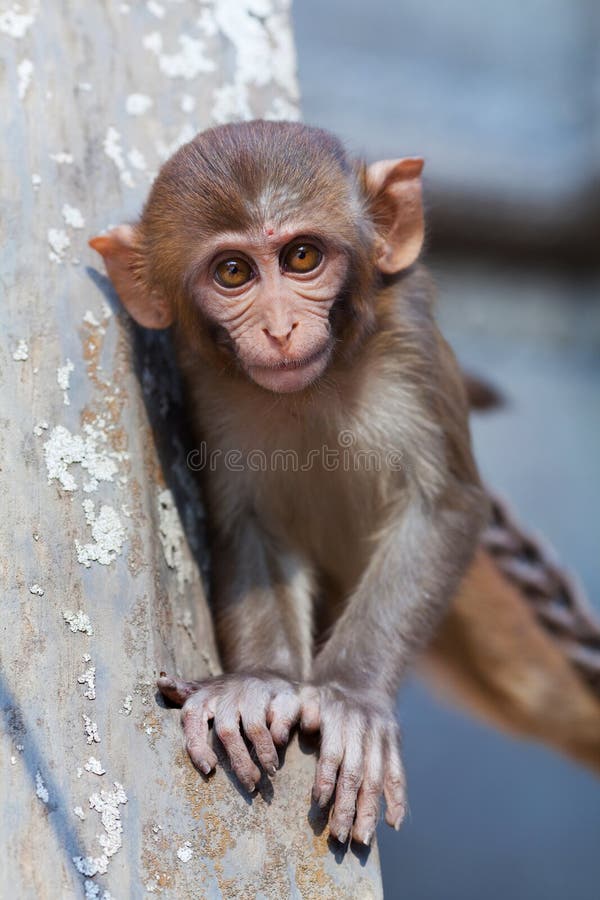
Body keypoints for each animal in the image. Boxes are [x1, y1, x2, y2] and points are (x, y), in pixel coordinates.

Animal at [90, 119, 600, 847]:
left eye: (302, 257)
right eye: (234, 272)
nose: (279, 328)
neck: (322, 380)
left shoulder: (412, 342)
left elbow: (444, 506)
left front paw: (352, 701)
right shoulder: (208, 385)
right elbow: (247, 523)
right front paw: (260, 683)